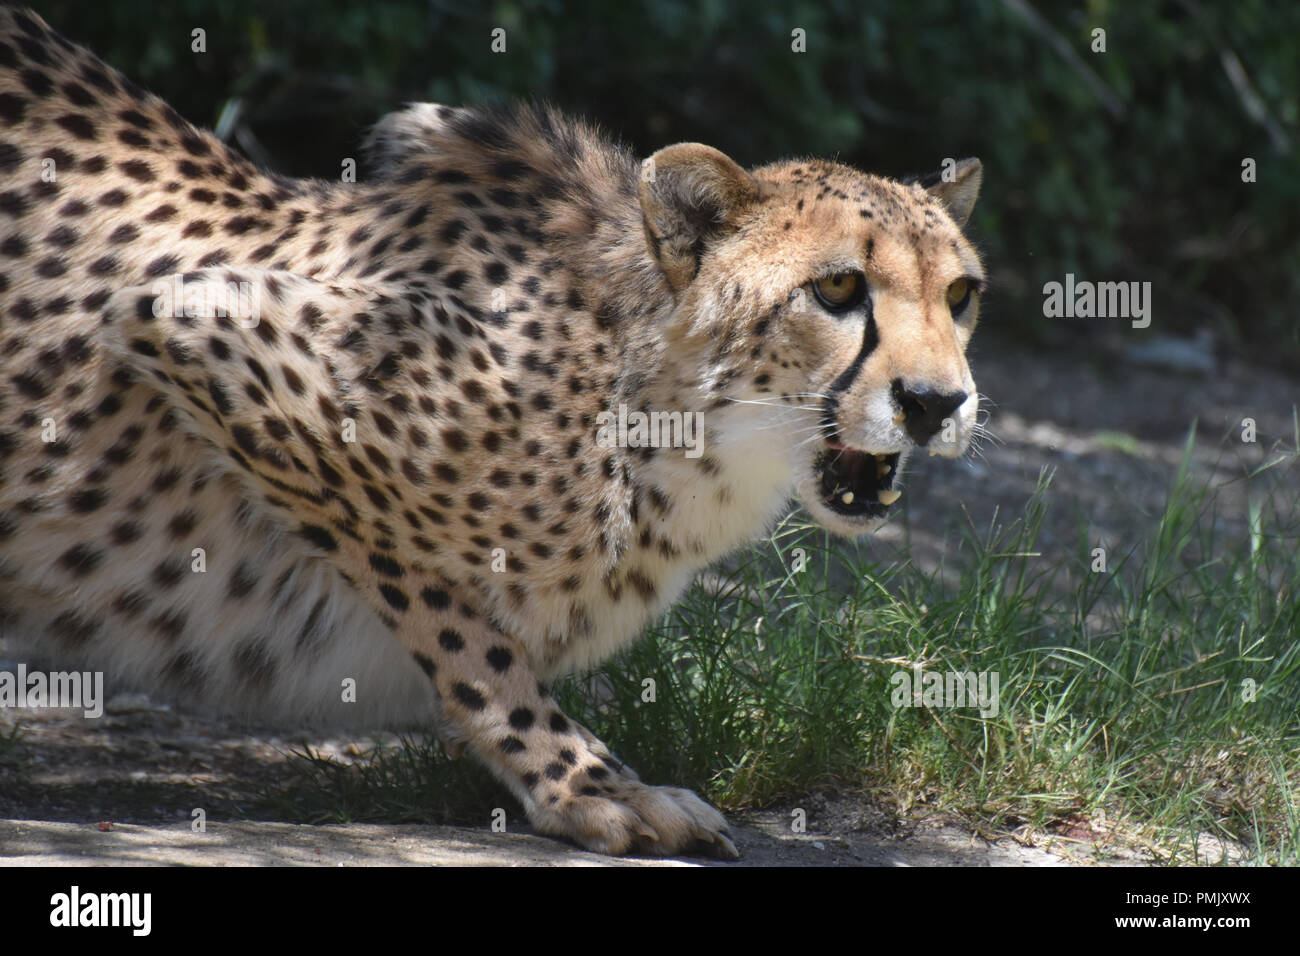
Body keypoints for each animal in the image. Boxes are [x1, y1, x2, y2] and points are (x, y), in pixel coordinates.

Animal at [0, 7, 985, 858]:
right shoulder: (199, 321)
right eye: (837, 288)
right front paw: (587, 785)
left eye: (961, 294)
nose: (938, 403)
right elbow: (459, 625)